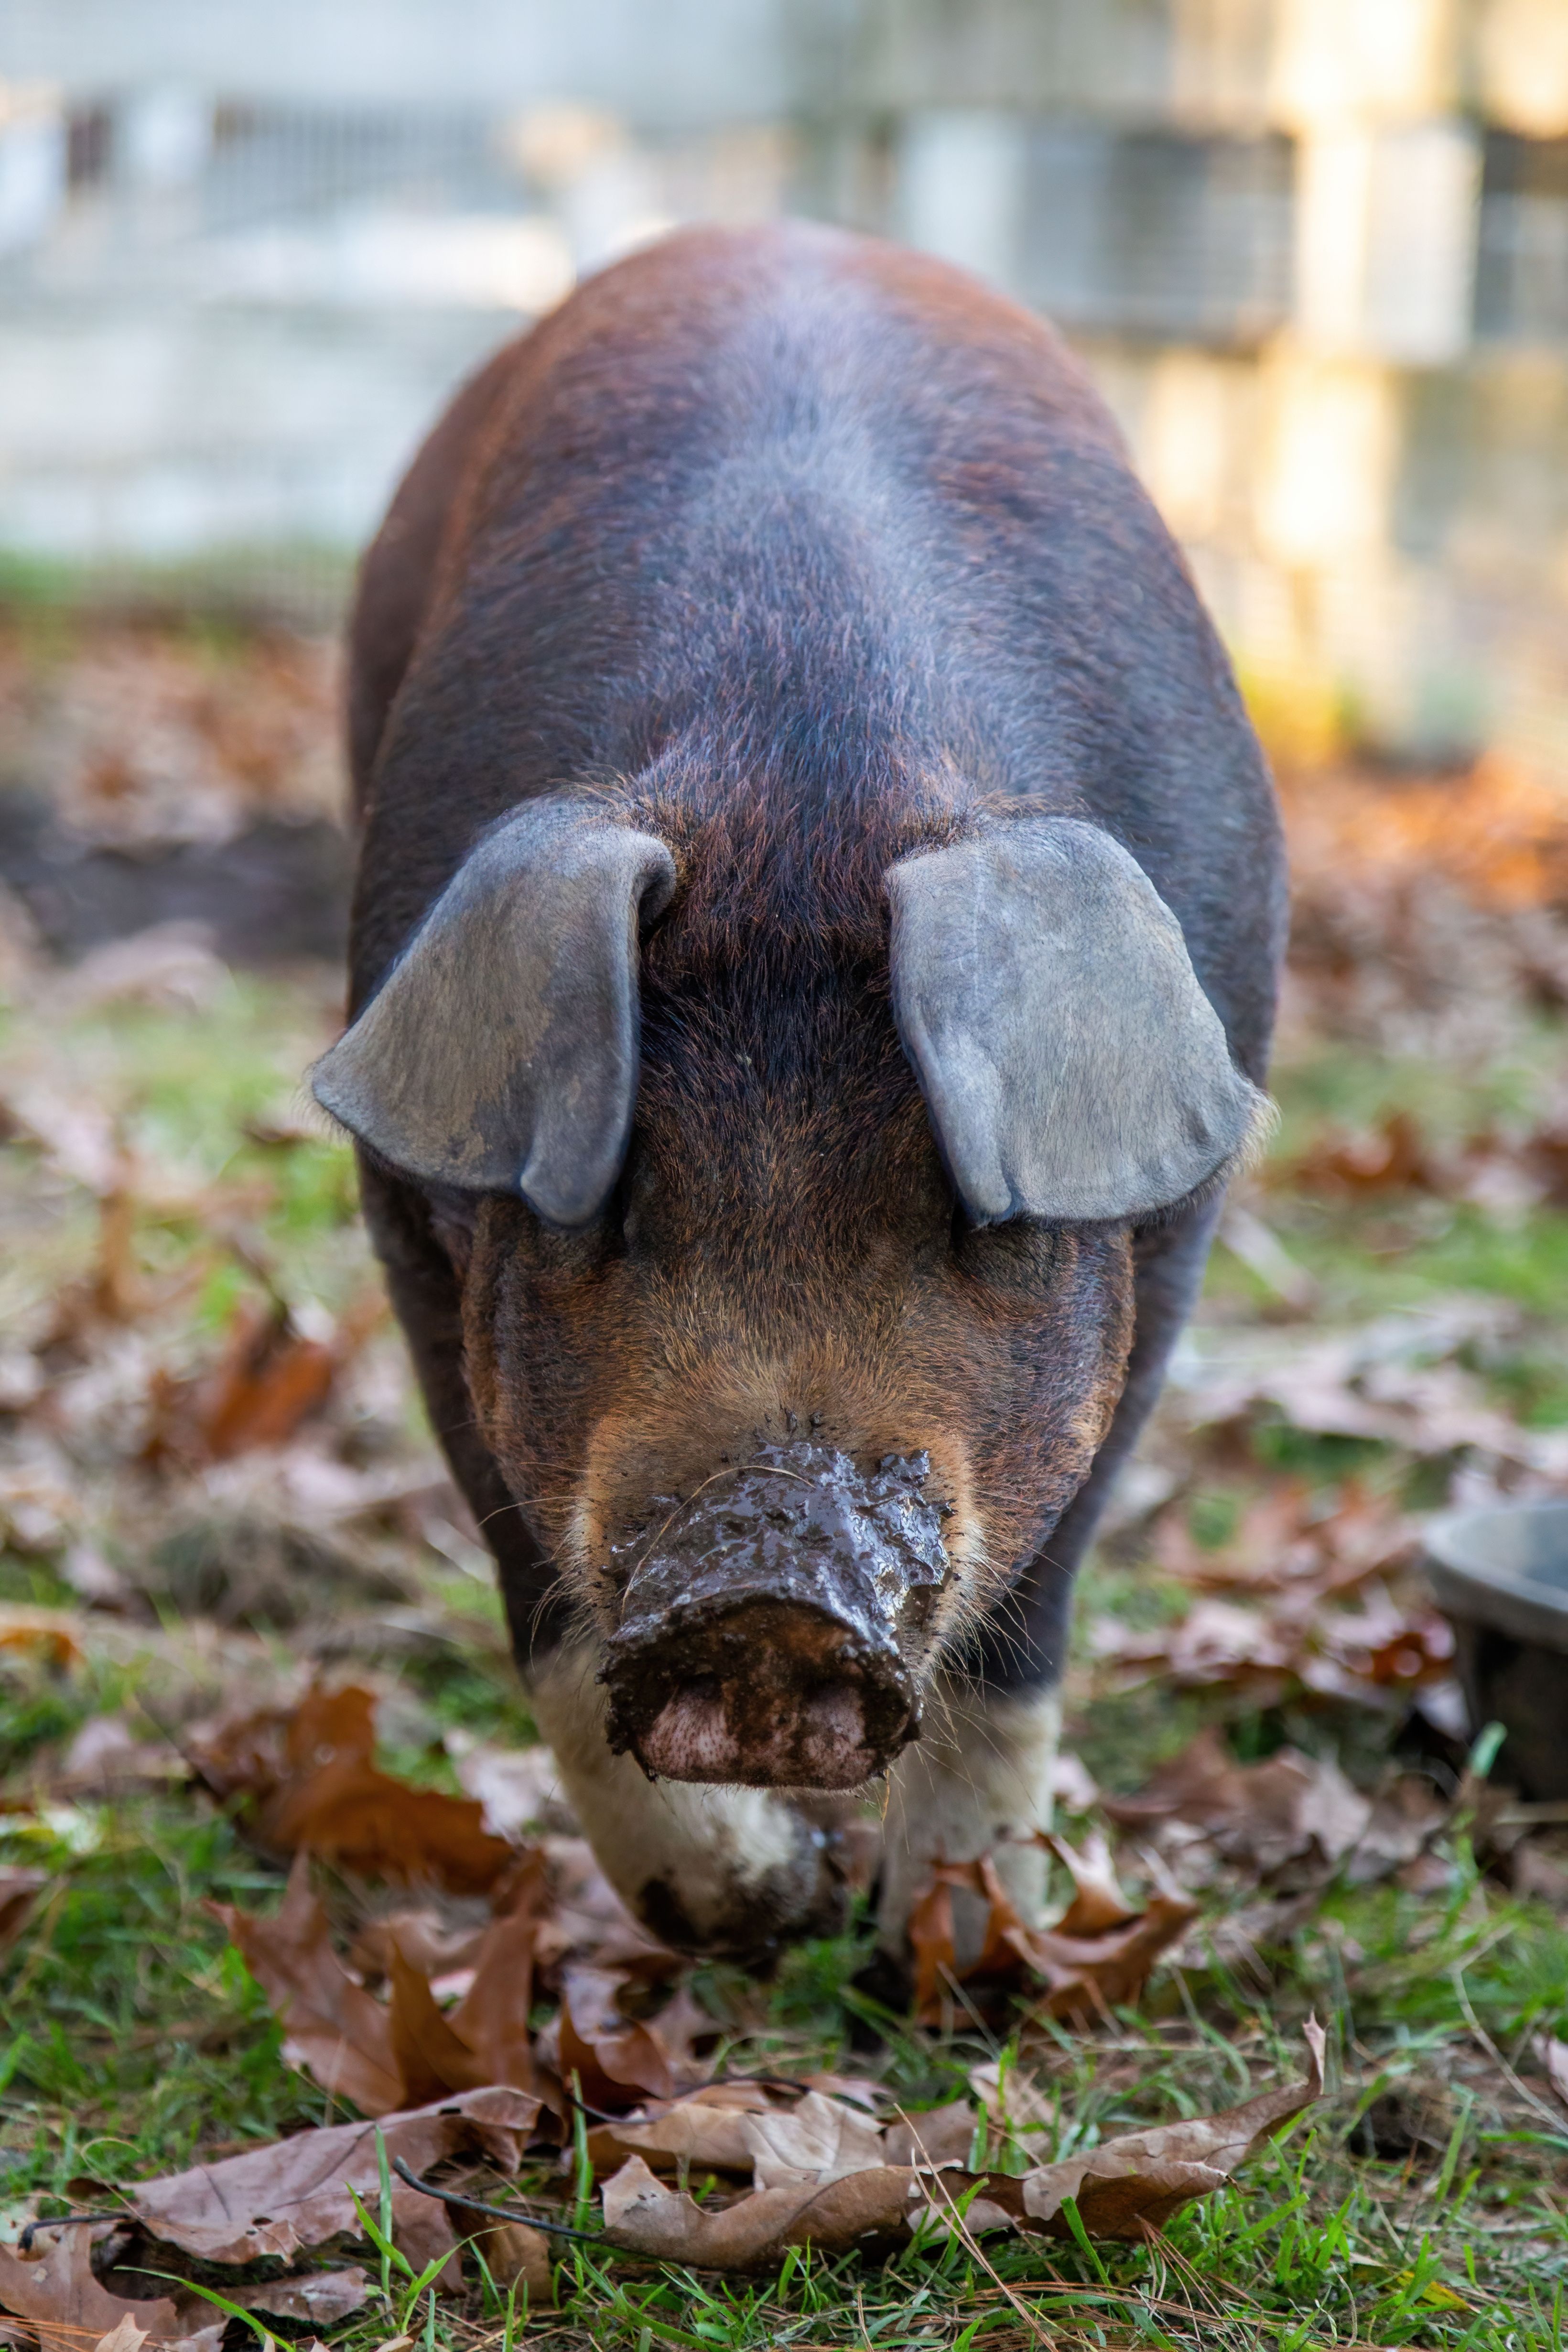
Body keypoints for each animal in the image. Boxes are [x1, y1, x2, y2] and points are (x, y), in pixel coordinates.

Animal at [314, 222, 1287, 1961]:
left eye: (977, 1212)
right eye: (608, 1199)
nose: (761, 1586)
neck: (806, 765)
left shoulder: (1172, 1233)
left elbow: (1029, 1623)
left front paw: (943, 1962)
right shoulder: (413, 1223)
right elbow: (541, 1610)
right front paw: (756, 1918)